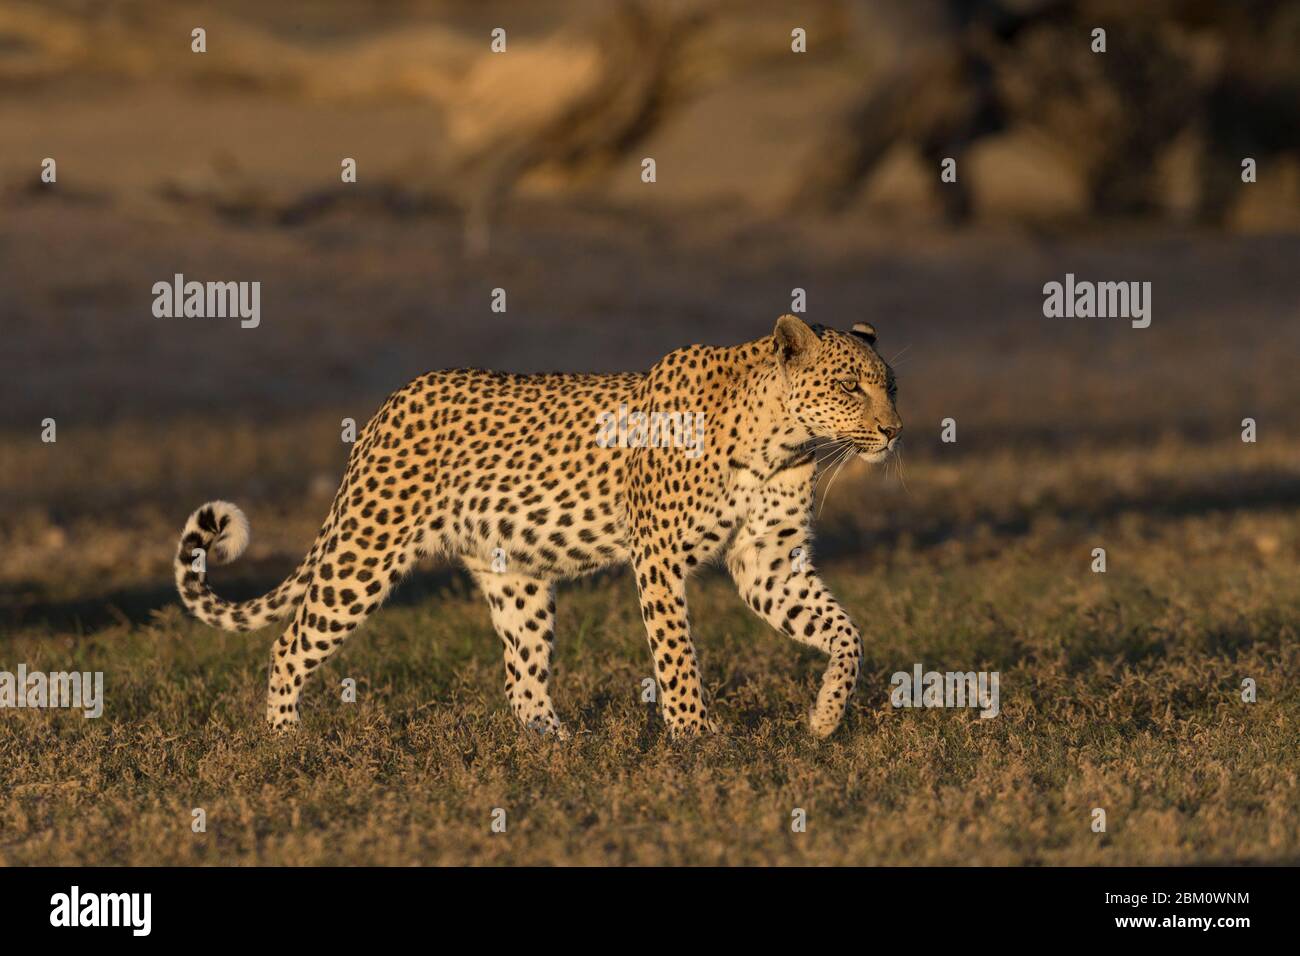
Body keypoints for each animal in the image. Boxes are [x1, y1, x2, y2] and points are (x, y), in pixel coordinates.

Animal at [174, 314, 902, 739]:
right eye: (850, 387)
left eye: (891, 385)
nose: (895, 430)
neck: (783, 439)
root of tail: (390, 404)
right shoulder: (660, 558)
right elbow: (677, 656)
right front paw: (696, 739)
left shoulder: (769, 562)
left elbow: (846, 633)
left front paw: (825, 716)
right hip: (365, 553)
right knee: (290, 643)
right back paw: (286, 745)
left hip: (516, 579)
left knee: (520, 680)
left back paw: (557, 750)